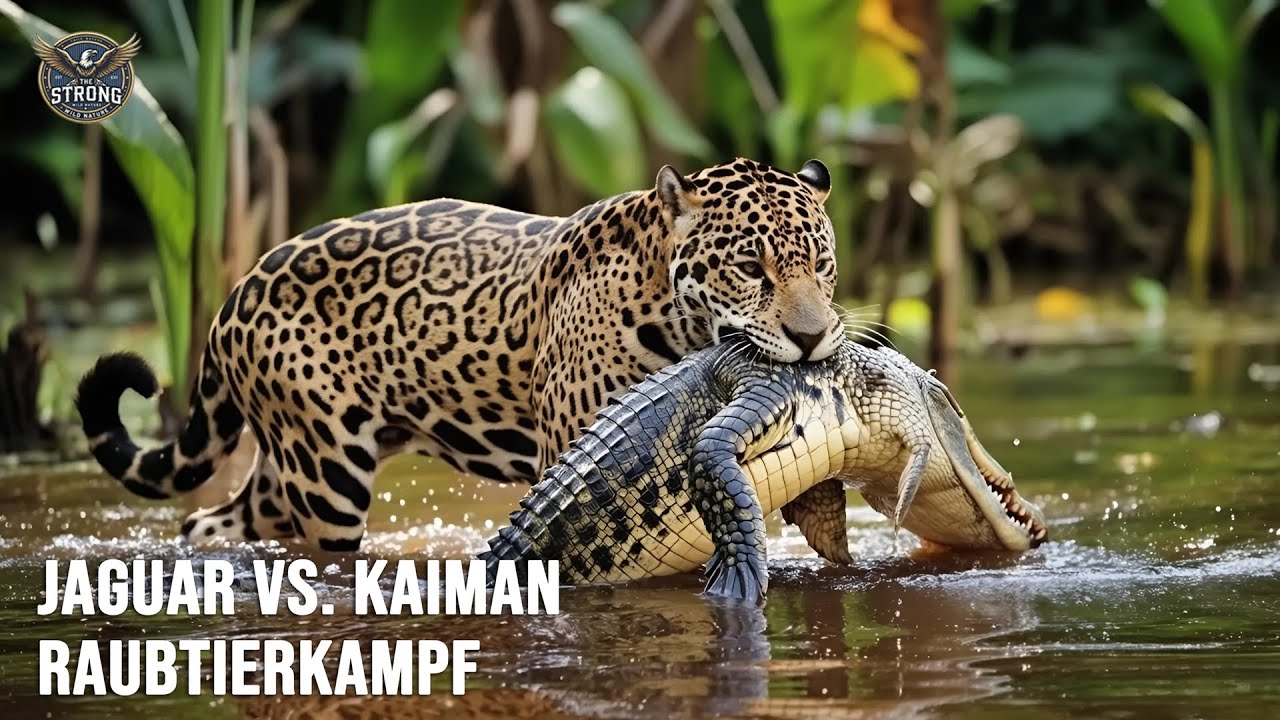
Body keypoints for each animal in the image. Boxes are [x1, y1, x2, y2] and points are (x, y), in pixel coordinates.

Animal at [75, 157, 846, 552]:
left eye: (823, 265)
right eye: (749, 268)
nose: (813, 338)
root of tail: (238, 287)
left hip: (287, 471)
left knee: (210, 520)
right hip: (325, 475)